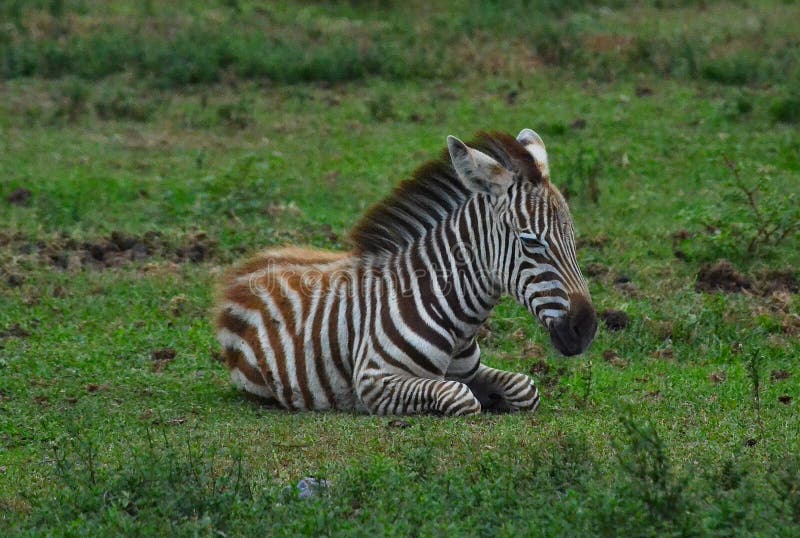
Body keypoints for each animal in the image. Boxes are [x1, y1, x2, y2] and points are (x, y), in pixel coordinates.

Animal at [214, 129, 597, 416]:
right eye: (531, 242)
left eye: (573, 239)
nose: (586, 329)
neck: (456, 316)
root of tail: (246, 268)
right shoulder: (374, 379)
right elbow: (460, 397)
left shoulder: (470, 371)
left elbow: (526, 387)